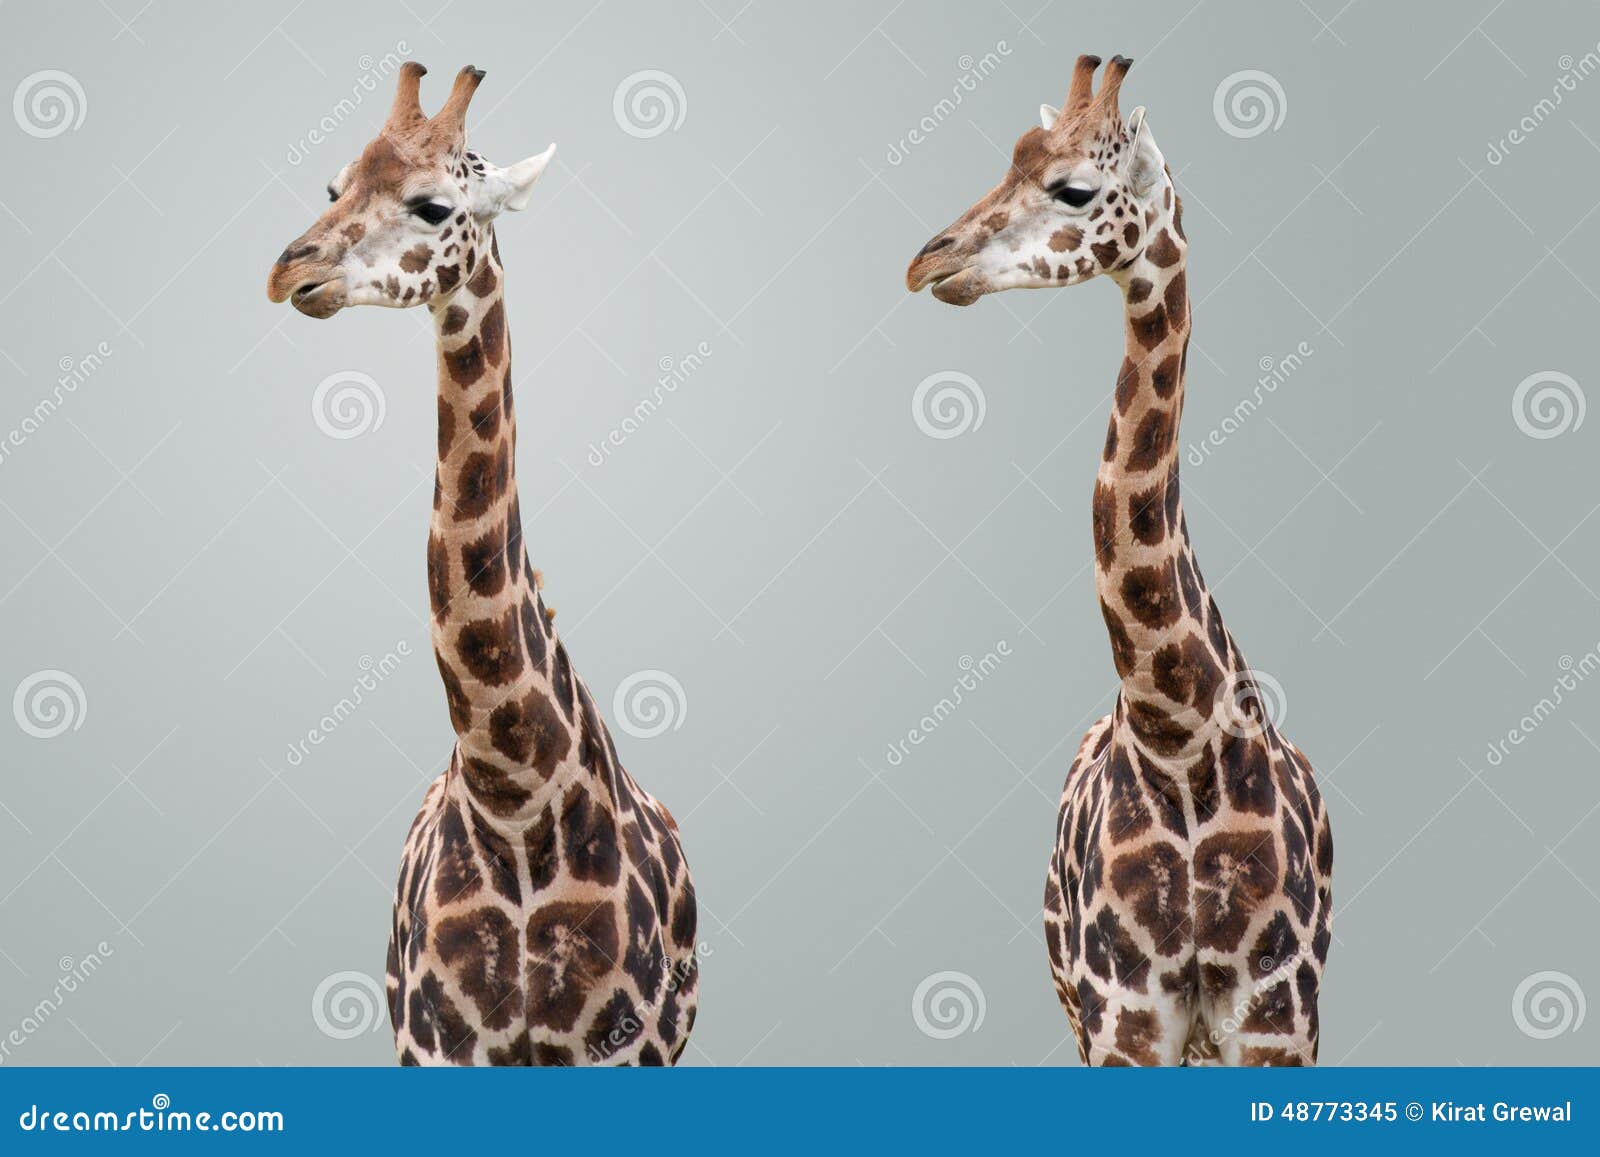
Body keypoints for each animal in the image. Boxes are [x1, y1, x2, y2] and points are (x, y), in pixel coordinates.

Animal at [266, 64, 698, 1066]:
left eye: (433, 205)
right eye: (334, 184)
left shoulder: (626, 1046)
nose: (290, 271)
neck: (515, 794)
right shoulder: (437, 1043)